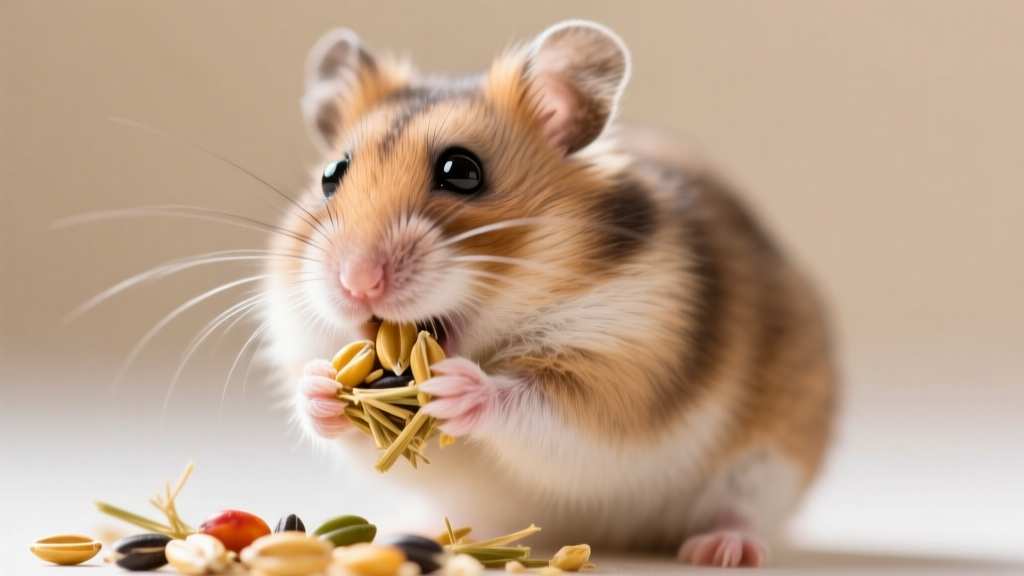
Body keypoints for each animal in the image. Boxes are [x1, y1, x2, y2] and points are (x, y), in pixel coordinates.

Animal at [264, 21, 835, 567]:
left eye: (461, 171)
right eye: (331, 174)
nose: (357, 282)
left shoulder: (625, 368)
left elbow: (543, 408)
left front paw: (452, 388)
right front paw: (320, 387)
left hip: (773, 458)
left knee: (740, 509)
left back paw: (722, 550)